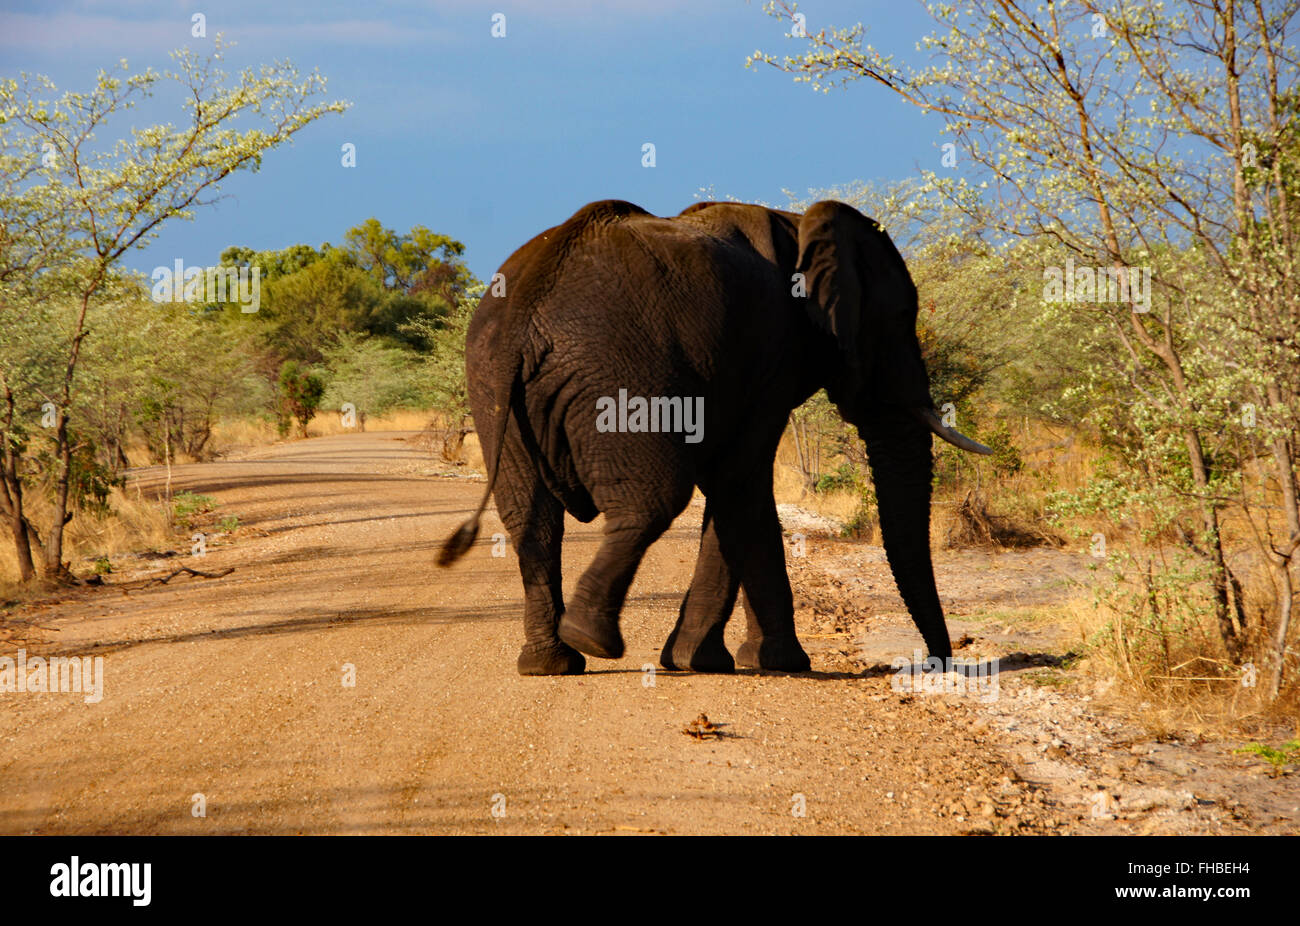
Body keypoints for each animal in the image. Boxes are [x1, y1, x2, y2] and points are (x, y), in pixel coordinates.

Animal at [438, 199, 990, 676]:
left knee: (530, 519)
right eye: (899, 320)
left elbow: (737, 493)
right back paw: (591, 640)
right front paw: (754, 662)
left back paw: (550, 664)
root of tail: (524, 307)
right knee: (652, 500)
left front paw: (729, 660)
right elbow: (740, 483)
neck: (799, 227)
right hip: (617, 375)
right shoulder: (771, 358)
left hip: (490, 380)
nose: (938, 662)